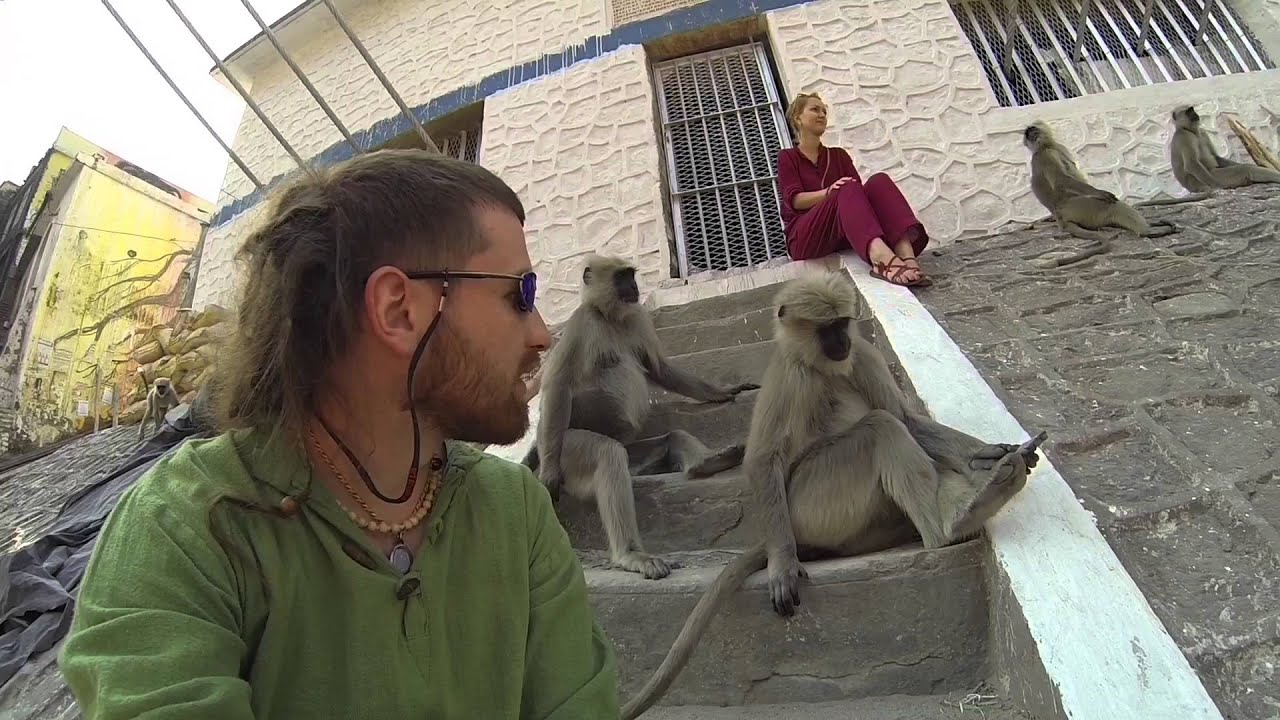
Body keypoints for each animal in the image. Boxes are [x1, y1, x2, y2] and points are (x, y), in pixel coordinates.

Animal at [526, 254, 759, 580]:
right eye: (622, 278)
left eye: (631, 276)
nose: (634, 287)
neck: (610, 317)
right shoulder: (581, 321)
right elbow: (557, 386)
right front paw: (547, 474)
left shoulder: (635, 317)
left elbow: (660, 369)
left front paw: (723, 391)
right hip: (568, 449)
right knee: (607, 453)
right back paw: (631, 555)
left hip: (633, 455)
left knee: (670, 437)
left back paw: (708, 462)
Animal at [616, 273, 1044, 720]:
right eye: (826, 330)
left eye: (842, 323)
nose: (841, 341)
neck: (822, 365)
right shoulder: (791, 372)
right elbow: (763, 459)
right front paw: (782, 564)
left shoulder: (863, 353)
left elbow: (909, 420)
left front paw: (991, 453)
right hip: (815, 503)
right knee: (879, 426)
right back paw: (951, 526)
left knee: (890, 425)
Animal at [1023, 121, 1176, 268]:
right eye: (1029, 135)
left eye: (1033, 131)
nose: (1033, 137)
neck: (1047, 146)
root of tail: (1060, 219)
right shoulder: (1045, 156)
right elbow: (1062, 181)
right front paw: (1099, 192)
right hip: (1079, 207)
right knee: (1113, 206)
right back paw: (1146, 232)